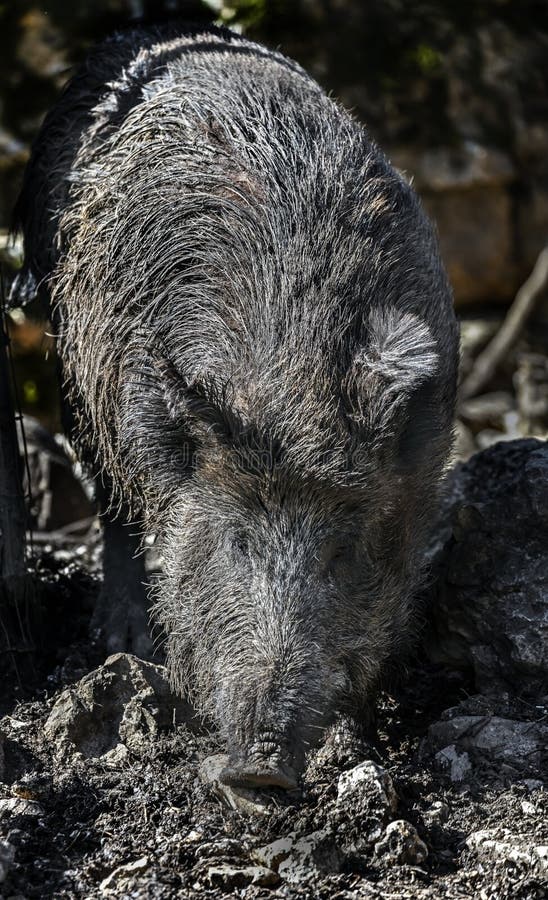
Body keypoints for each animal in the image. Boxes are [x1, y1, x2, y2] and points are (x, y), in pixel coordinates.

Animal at [11, 23, 459, 789]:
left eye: (343, 549)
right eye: (235, 541)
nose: (262, 771)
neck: (289, 384)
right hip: (68, 358)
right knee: (107, 496)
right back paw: (121, 638)